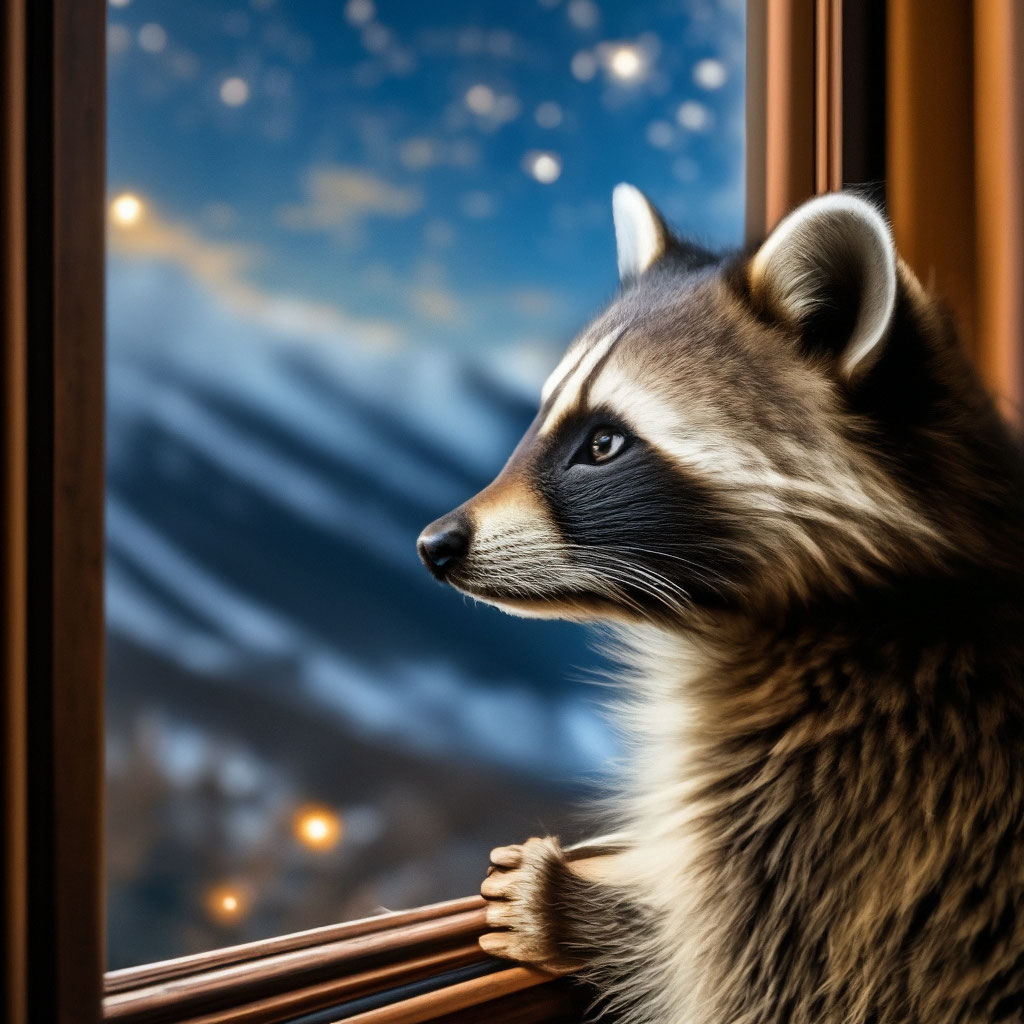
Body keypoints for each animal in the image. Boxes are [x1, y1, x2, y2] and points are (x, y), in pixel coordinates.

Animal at [417, 186, 1024, 1024]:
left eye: (603, 444)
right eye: (541, 420)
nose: (435, 543)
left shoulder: (853, 794)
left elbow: (764, 981)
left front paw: (581, 914)